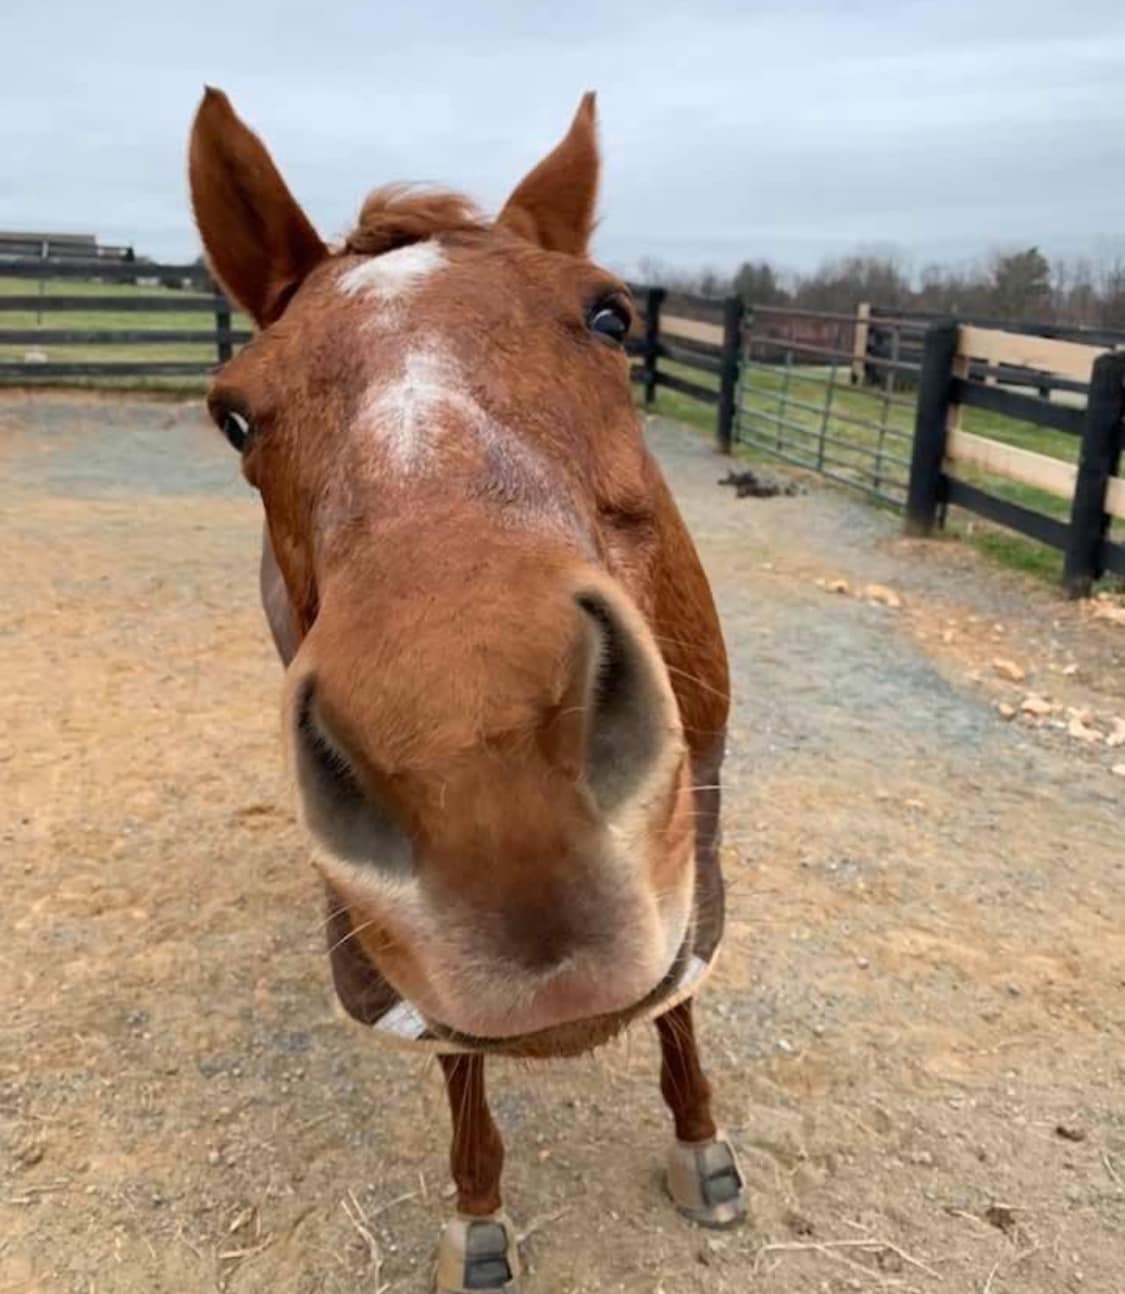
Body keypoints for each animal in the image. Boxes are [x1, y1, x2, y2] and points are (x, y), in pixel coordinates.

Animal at [188, 86, 744, 1291]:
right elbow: (454, 1057)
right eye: (234, 415)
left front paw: (701, 1144)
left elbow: (680, 995)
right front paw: (477, 1213)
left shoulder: (704, 823)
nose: (491, 796)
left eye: (611, 318)